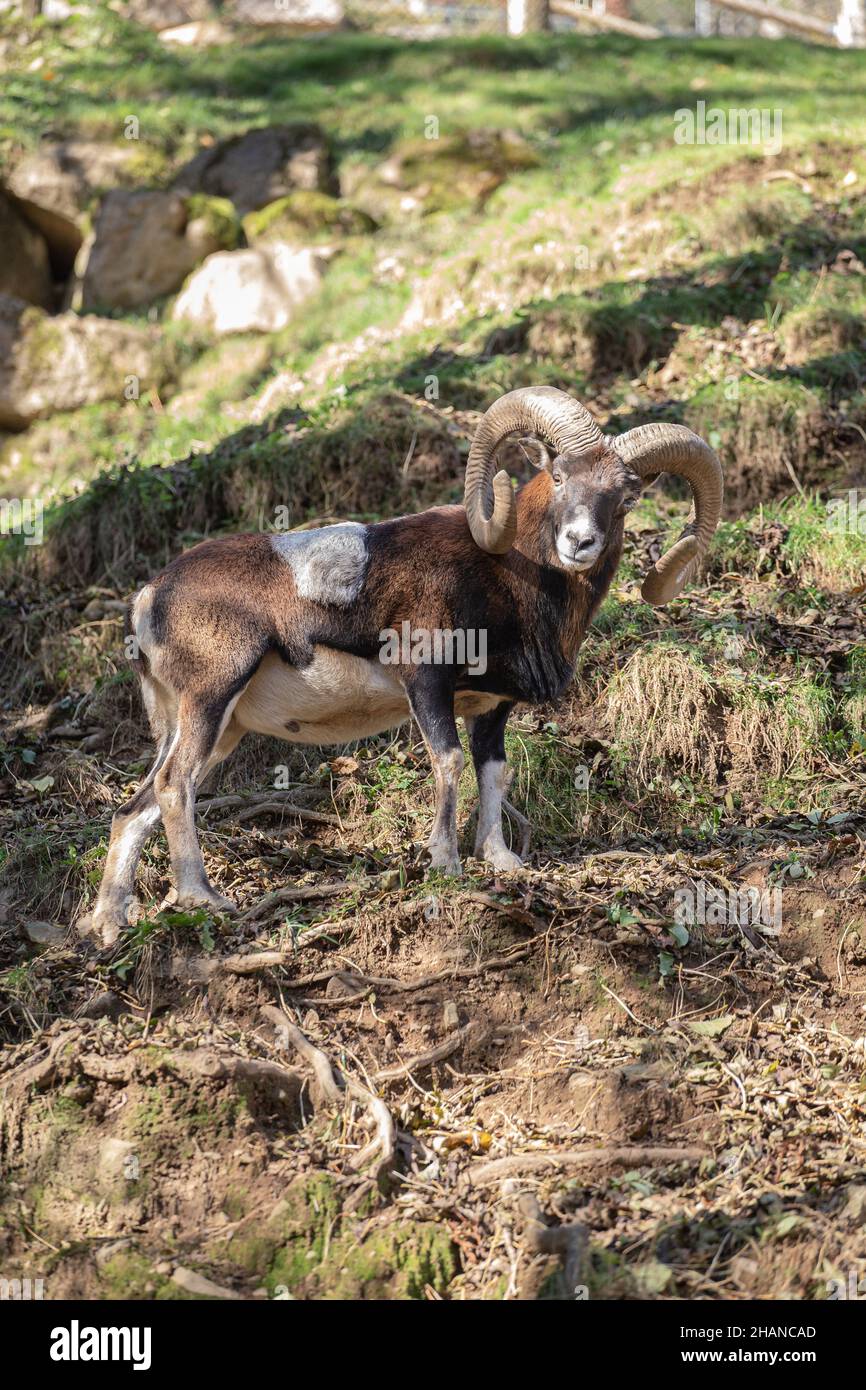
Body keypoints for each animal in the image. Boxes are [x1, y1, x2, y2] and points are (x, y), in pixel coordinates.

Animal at [80, 386, 723, 947]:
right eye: (560, 476)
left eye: (625, 496)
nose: (580, 543)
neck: (511, 576)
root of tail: (150, 597)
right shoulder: (426, 683)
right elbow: (450, 762)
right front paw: (446, 863)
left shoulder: (492, 708)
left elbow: (494, 773)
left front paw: (500, 860)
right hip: (211, 700)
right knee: (173, 786)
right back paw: (204, 899)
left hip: (217, 728)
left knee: (134, 811)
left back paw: (110, 925)